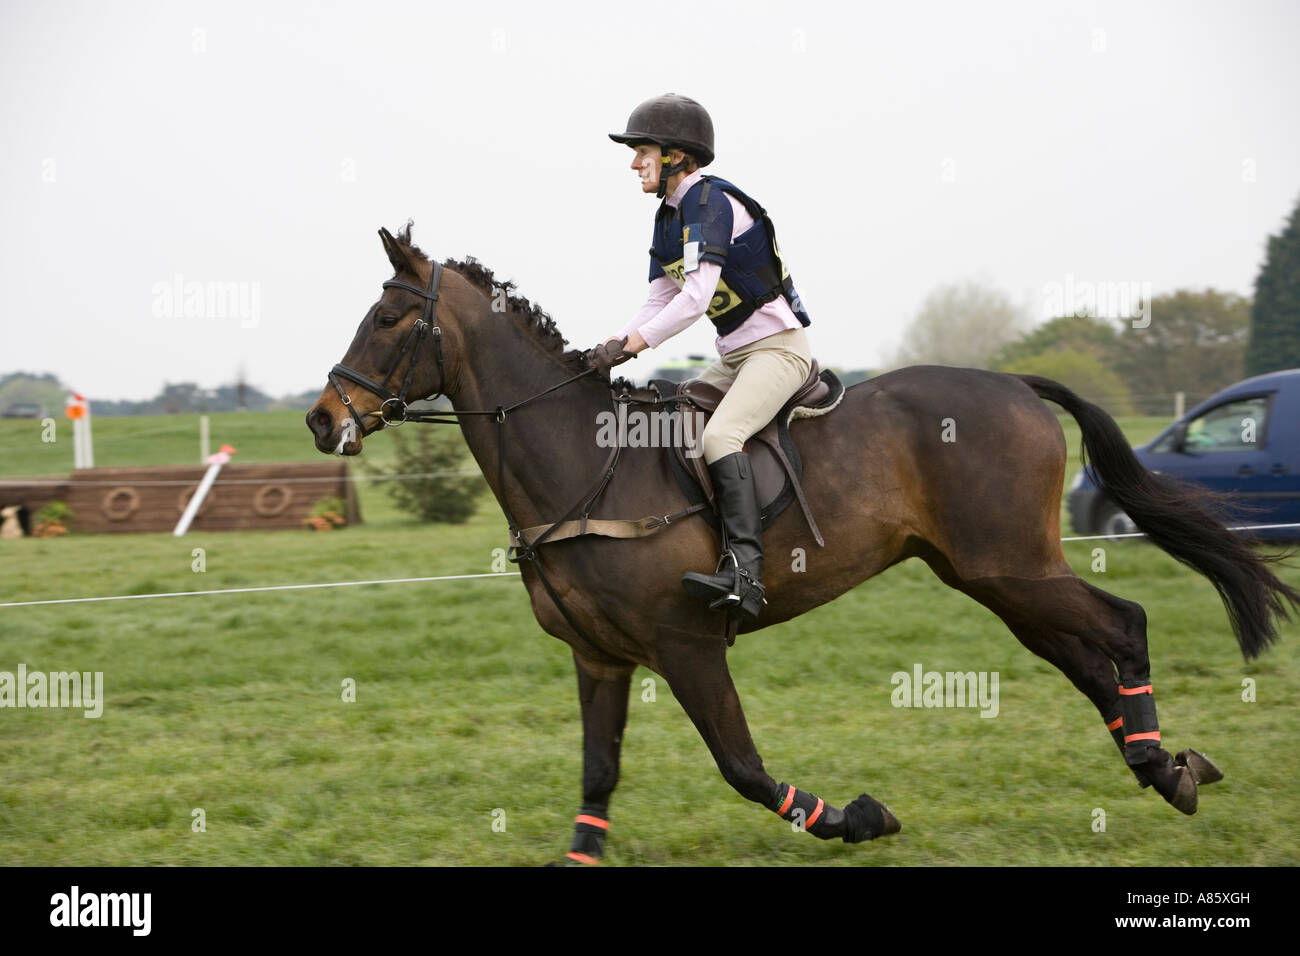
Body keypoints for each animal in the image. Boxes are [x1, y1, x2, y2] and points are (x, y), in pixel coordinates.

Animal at [306, 224, 1297, 864]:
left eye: (388, 320)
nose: (321, 420)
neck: (579, 463)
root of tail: (1017, 383)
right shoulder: (601, 658)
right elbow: (597, 776)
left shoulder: (686, 645)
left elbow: (742, 767)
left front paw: (855, 818)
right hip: (991, 577)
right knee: (1087, 657)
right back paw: (1158, 762)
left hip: (1011, 565)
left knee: (1123, 622)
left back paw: (1162, 763)